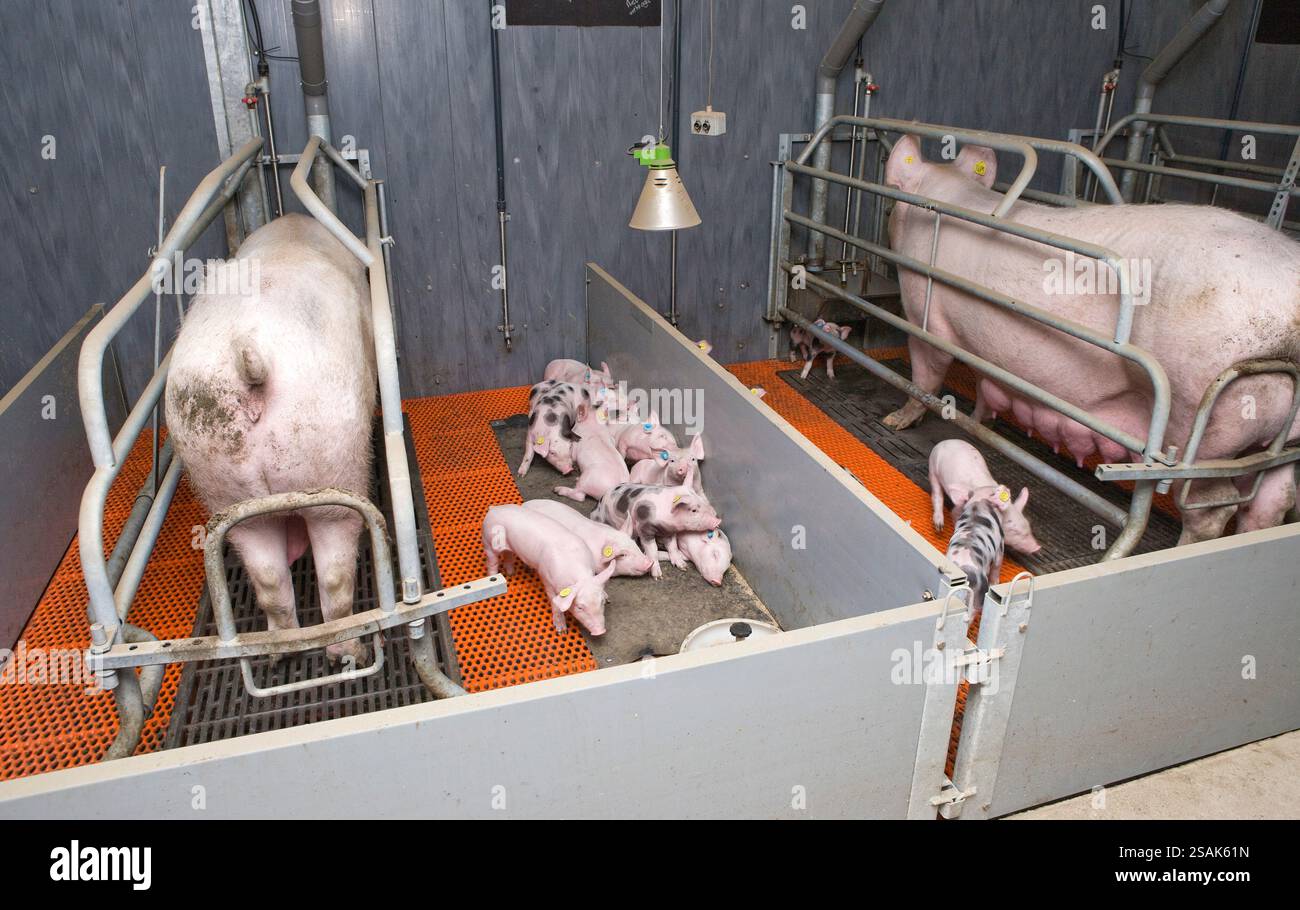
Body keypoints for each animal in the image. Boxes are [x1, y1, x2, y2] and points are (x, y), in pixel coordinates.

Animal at [165, 214, 376, 665]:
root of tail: (249, 353)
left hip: (220, 476)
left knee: (267, 578)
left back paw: (282, 651)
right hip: (331, 462)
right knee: (335, 576)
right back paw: (351, 651)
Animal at [481, 504, 620, 635]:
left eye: (601, 602)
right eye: (580, 607)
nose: (600, 631)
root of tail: (494, 509)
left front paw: (608, 598)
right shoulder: (546, 578)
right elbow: (555, 604)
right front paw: (562, 632)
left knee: (508, 554)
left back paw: (511, 574)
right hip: (488, 540)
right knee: (492, 562)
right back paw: (494, 582)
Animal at [590, 468, 721, 579]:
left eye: (701, 501)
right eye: (693, 510)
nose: (717, 521)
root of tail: (597, 505)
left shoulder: (669, 530)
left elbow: (673, 546)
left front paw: (683, 567)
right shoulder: (644, 527)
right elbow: (652, 550)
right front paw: (658, 576)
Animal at [881, 134, 1300, 544]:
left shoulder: (923, 309)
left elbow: (926, 373)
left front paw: (895, 421)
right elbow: (986, 386)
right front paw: (982, 420)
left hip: (1203, 424)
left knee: (1213, 510)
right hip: (1279, 439)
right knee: (1272, 499)